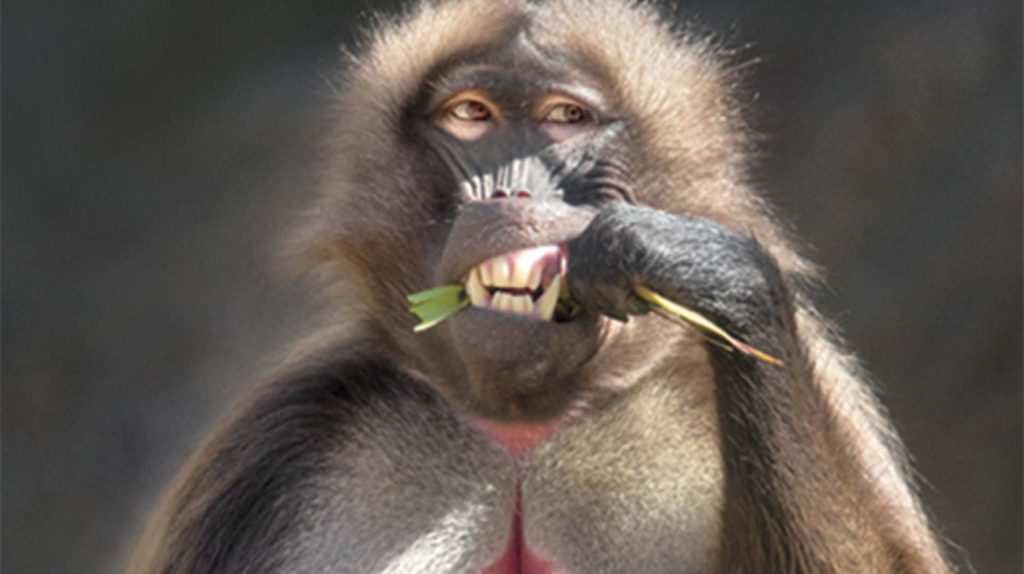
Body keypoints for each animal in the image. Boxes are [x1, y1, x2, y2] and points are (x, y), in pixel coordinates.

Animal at [128, 0, 953, 572]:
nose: (512, 196)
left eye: (565, 119)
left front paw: (704, 270)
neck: (523, 432)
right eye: (471, 116)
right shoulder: (287, 437)